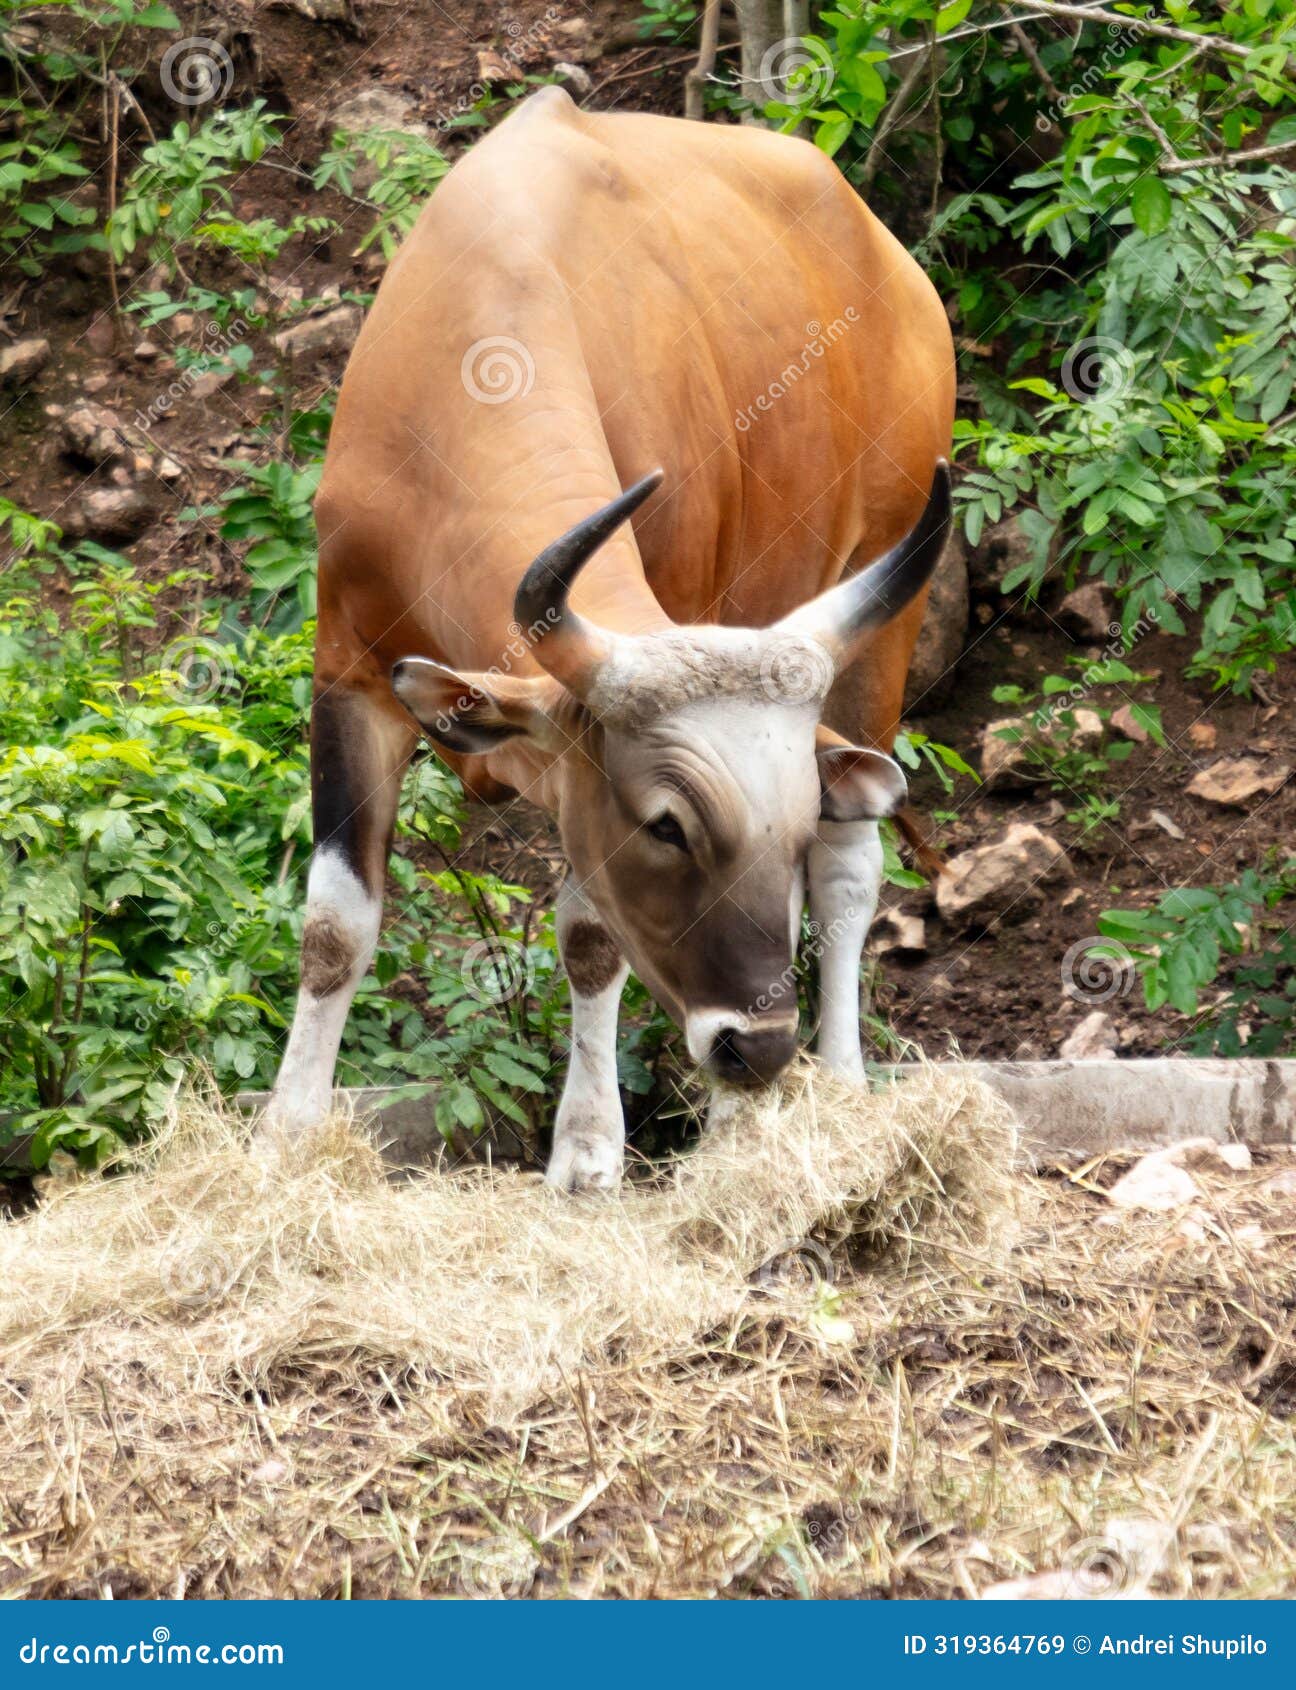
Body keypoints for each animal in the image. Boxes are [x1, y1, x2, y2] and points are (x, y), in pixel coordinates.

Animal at [267, 87, 955, 1191]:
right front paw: (283, 1141)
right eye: (667, 824)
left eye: (786, 820)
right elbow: (335, 924)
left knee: (851, 869)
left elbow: (594, 936)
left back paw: (829, 1092)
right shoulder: (349, 670)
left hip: (879, 610)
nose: (760, 1048)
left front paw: (587, 1150)